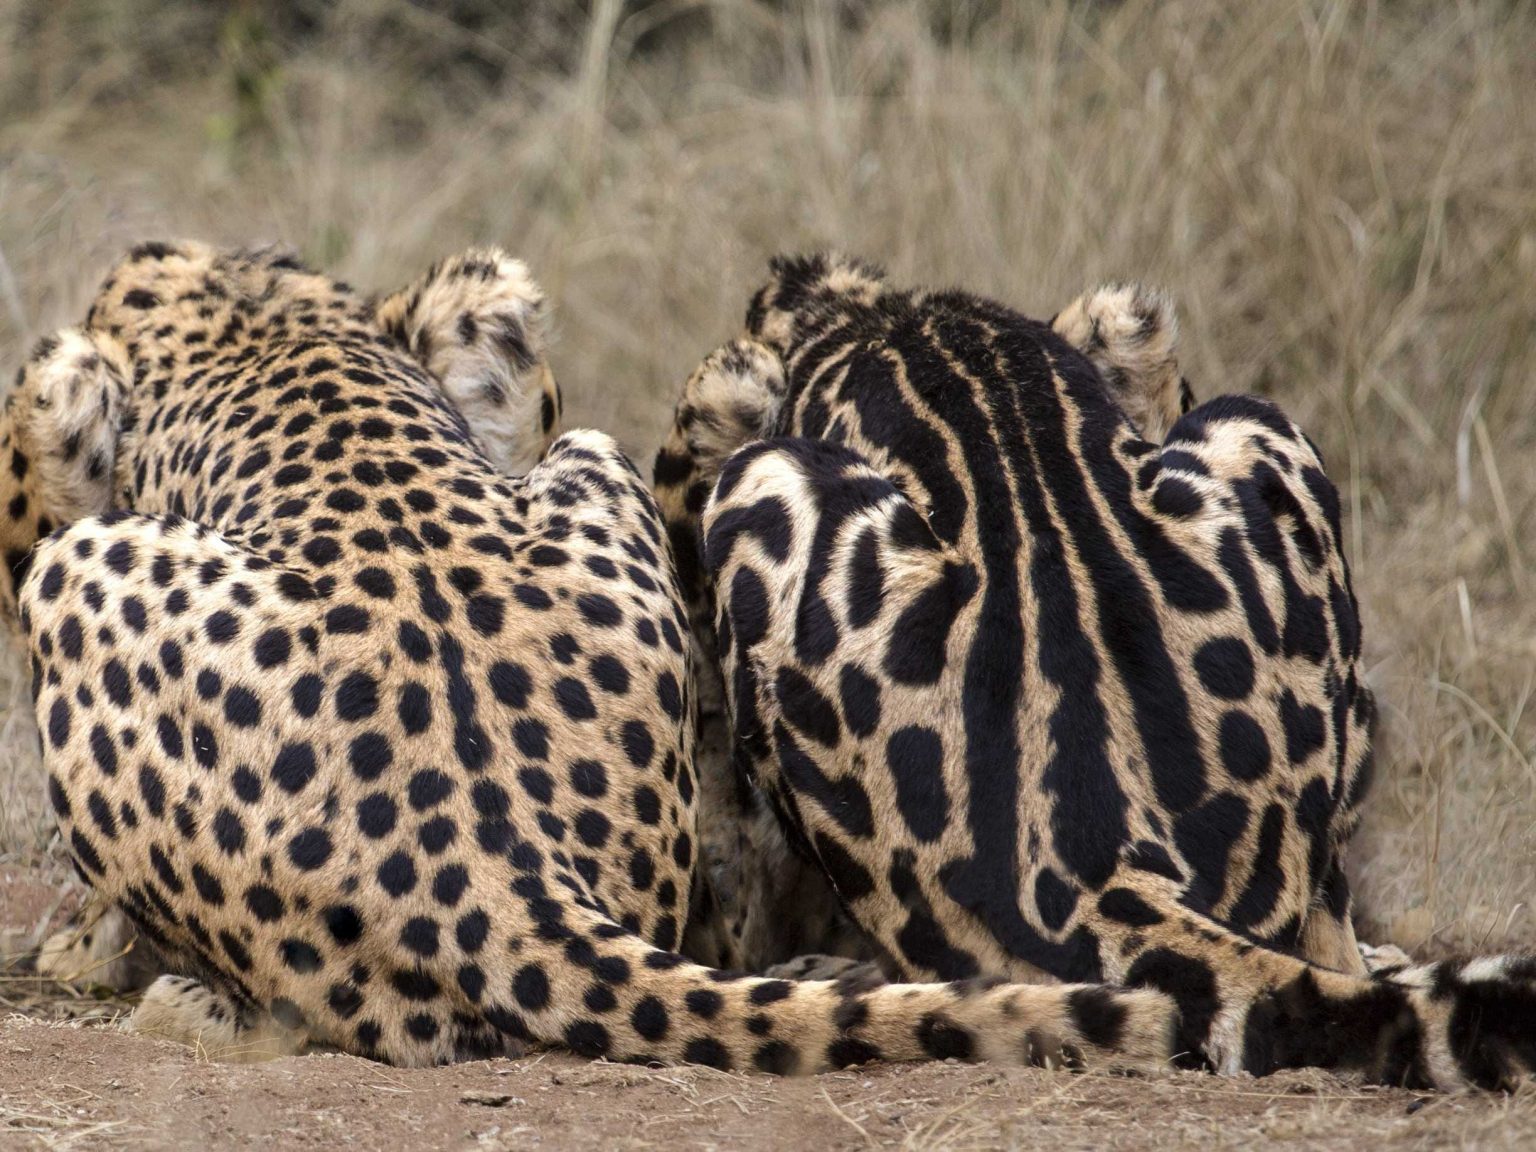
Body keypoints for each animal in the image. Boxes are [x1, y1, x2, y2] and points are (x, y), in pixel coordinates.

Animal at [2, 239, 1184, 1073]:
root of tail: (501, 867)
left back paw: (184, 1001)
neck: (247, 306)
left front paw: (82, 949)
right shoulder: (491, 329)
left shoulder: (62, 426)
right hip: (596, 464)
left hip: (79, 571)